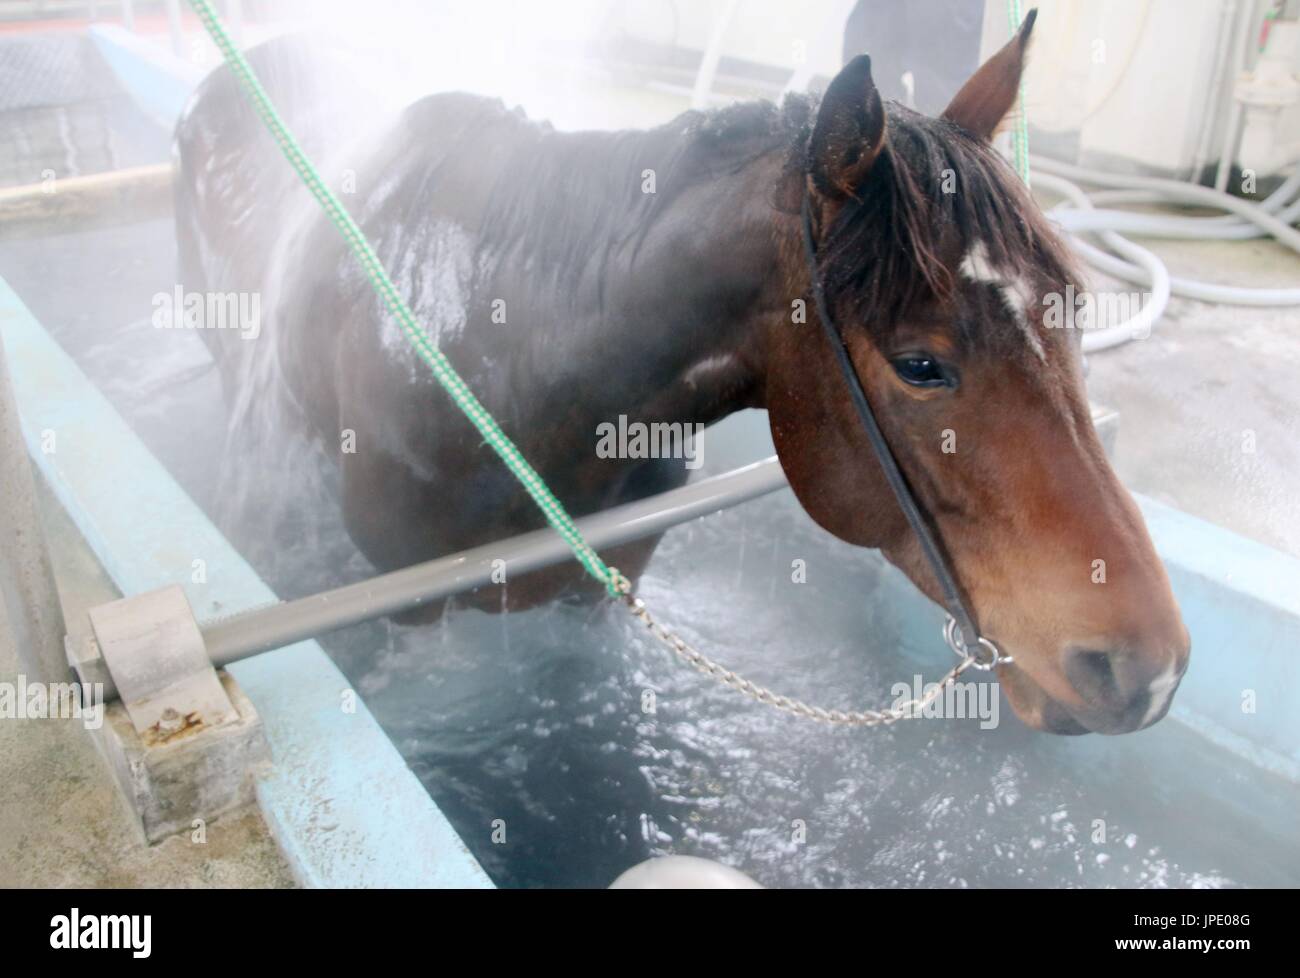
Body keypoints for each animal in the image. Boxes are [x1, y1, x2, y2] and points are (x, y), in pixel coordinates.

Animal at [174, 13, 1189, 736]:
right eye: (920, 364)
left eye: (1074, 310)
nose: (1149, 670)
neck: (513, 362)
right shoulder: (416, 610)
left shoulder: (605, 586)